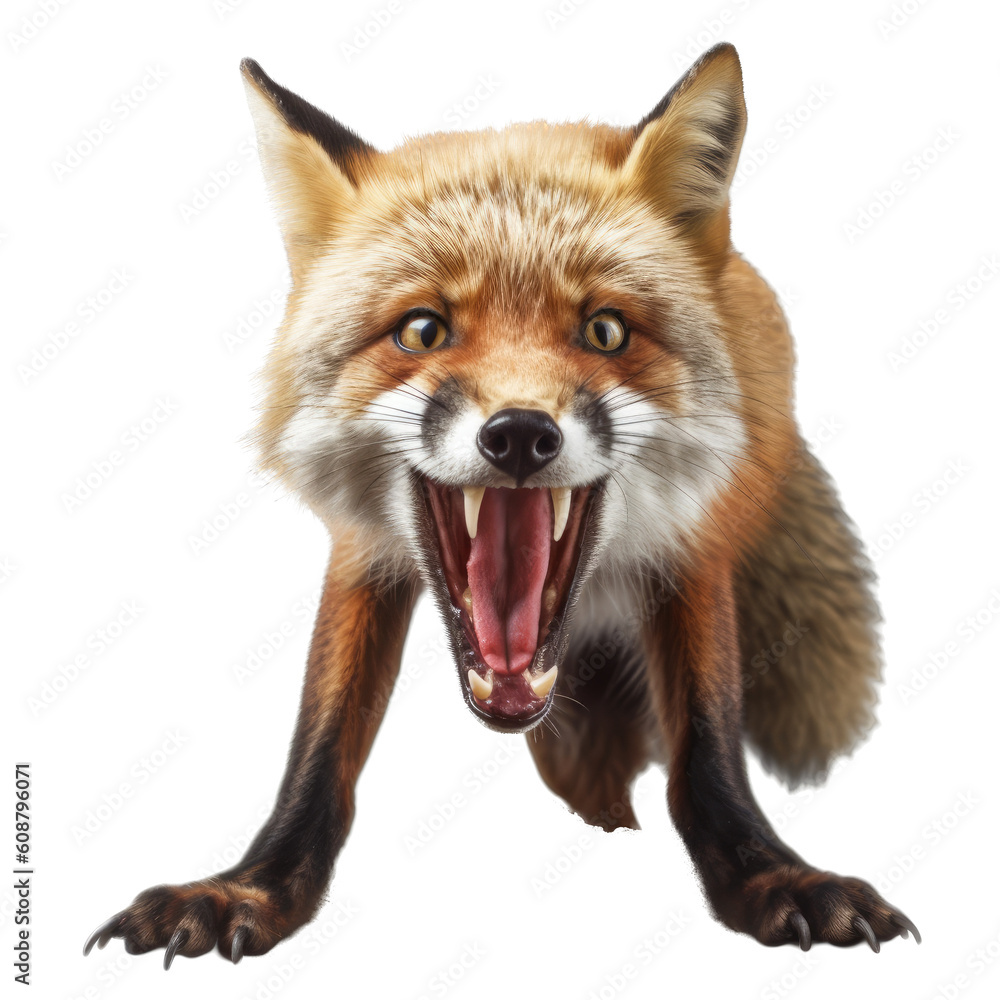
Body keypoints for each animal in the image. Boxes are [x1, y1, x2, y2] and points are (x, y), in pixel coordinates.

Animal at [84, 43, 919, 966]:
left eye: (605, 331)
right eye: (421, 329)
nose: (519, 436)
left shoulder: (697, 553)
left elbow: (707, 744)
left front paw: (769, 876)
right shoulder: (361, 560)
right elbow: (320, 743)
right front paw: (256, 887)